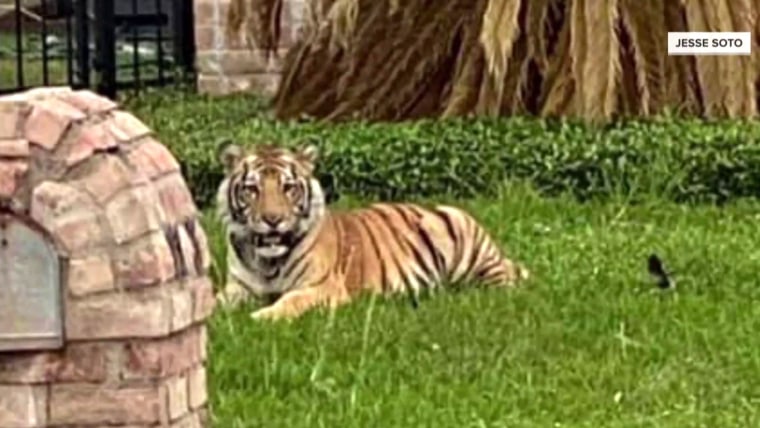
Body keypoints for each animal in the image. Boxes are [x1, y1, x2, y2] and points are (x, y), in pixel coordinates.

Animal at [215, 143, 530, 321]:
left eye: (288, 188)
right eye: (252, 189)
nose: (272, 219)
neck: (267, 261)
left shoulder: (324, 287)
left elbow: (292, 300)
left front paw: (261, 316)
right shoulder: (238, 288)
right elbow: (215, 300)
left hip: (463, 237)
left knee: (503, 281)